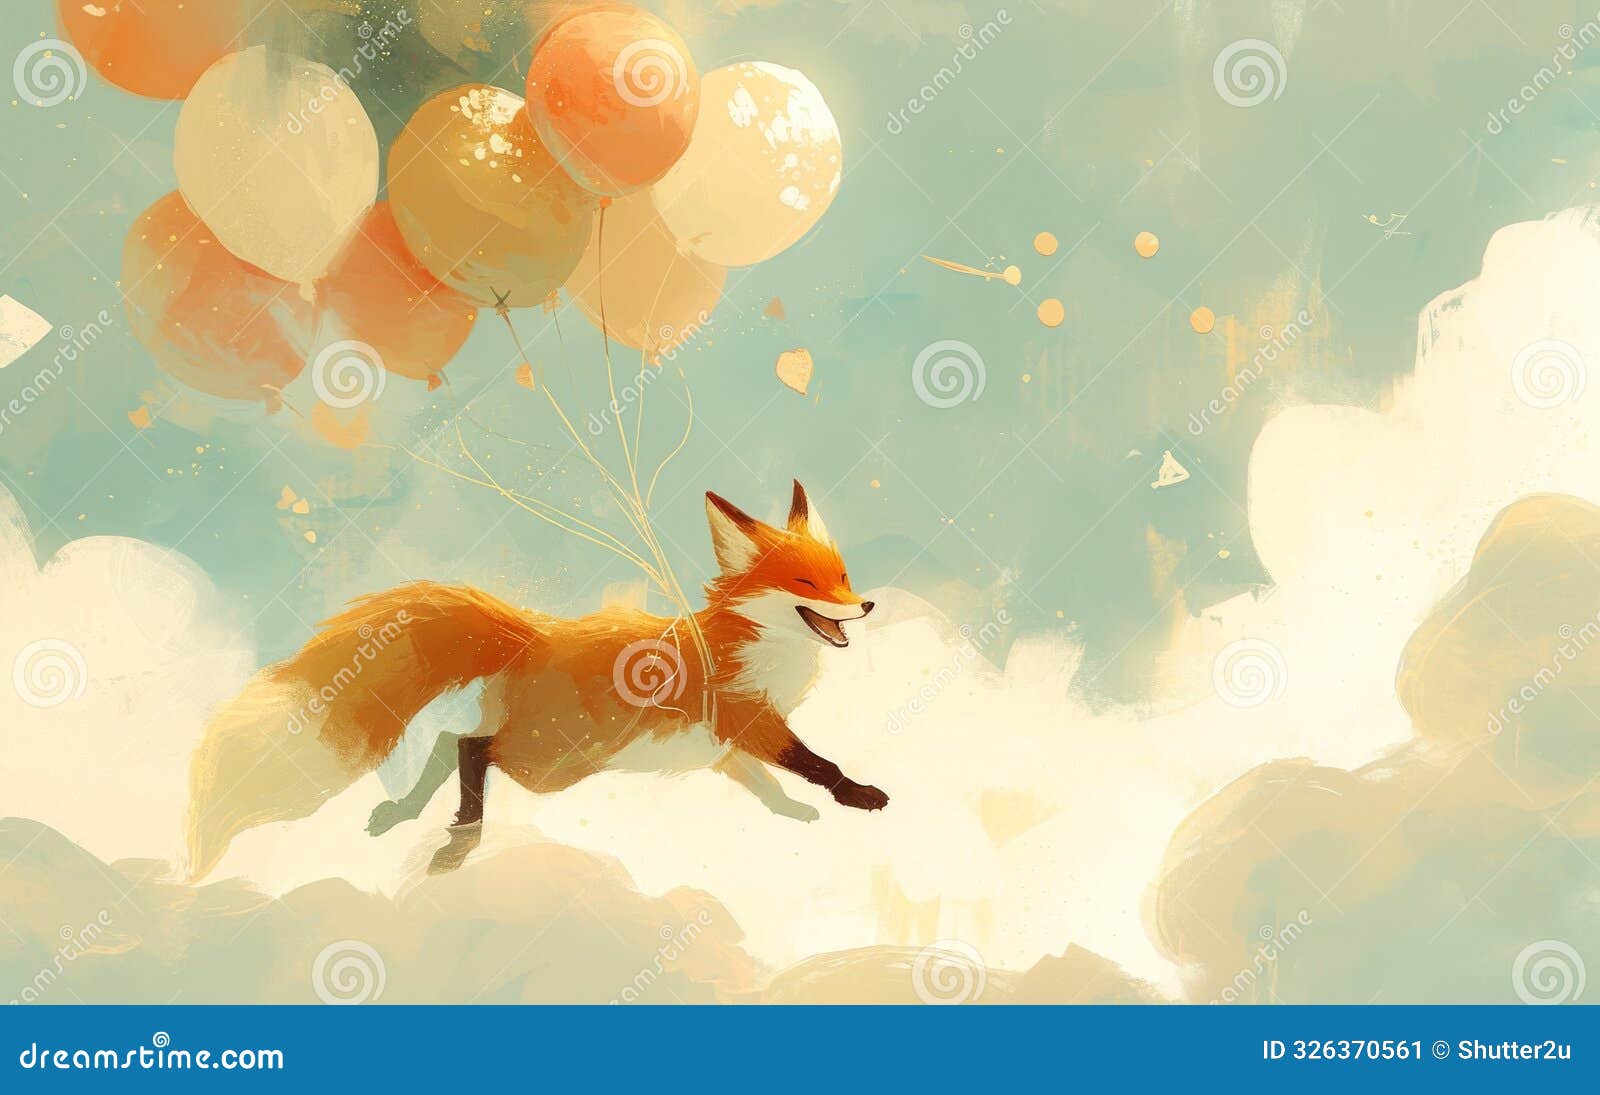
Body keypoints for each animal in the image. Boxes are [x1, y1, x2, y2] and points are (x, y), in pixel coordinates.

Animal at [185, 481, 886, 879]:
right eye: (806, 582)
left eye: (843, 576)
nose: (868, 604)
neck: (752, 646)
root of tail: (533, 632)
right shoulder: (749, 718)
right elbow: (817, 763)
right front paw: (858, 796)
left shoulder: (725, 746)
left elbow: (763, 784)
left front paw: (790, 811)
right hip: (557, 761)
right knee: (471, 748)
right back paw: (461, 841)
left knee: (448, 743)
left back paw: (408, 815)